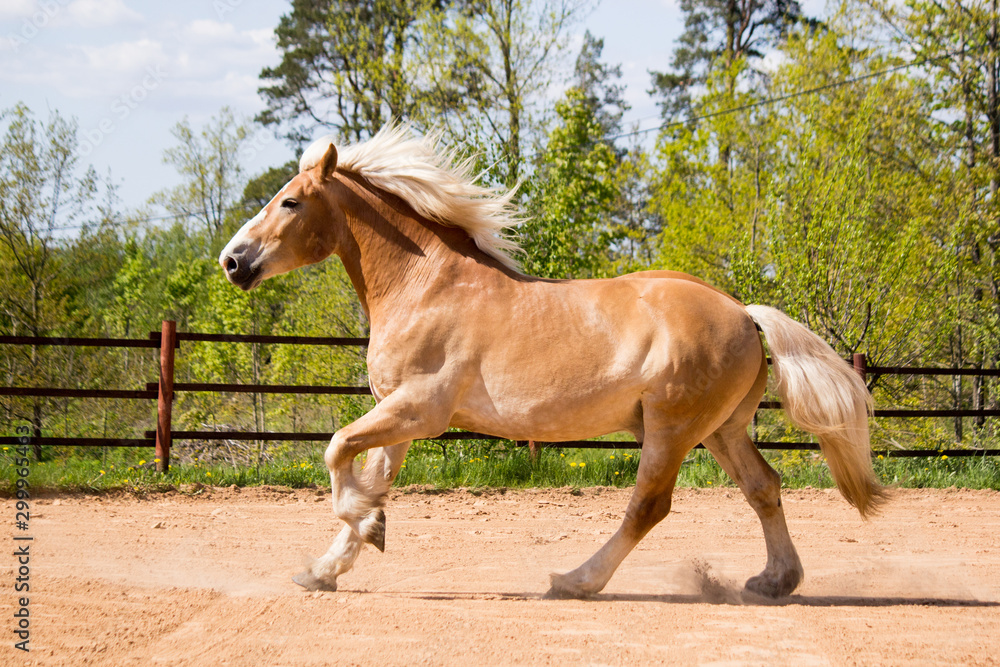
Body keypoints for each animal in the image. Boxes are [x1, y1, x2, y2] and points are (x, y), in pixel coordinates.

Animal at [219, 124, 886, 599]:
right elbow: (372, 478)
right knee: (763, 487)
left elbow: (336, 450)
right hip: (720, 430)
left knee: (649, 506)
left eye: (289, 202)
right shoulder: (397, 416)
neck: (425, 286)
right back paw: (774, 581)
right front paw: (330, 565)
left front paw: (366, 528)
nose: (232, 260)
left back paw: (574, 581)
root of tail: (744, 313)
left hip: (671, 428)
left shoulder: (419, 409)